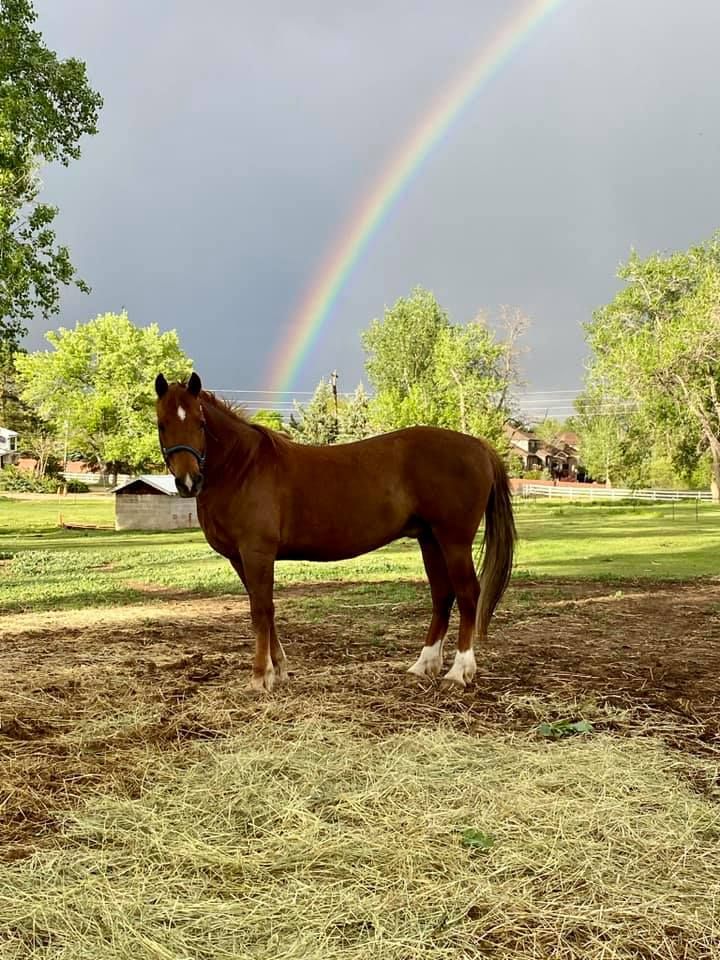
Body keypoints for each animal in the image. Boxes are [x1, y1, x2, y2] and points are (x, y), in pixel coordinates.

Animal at [154, 372, 516, 692]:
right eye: (162, 424)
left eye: (200, 423)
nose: (188, 482)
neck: (242, 467)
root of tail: (478, 445)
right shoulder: (240, 559)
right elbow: (266, 610)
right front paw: (279, 670)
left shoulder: (257, 553)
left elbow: (260, 611)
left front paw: (260, 678)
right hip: (430, 539)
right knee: (442, 595)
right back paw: (423, 665)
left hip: (454, 540)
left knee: (468, 594)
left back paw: (459, 672)